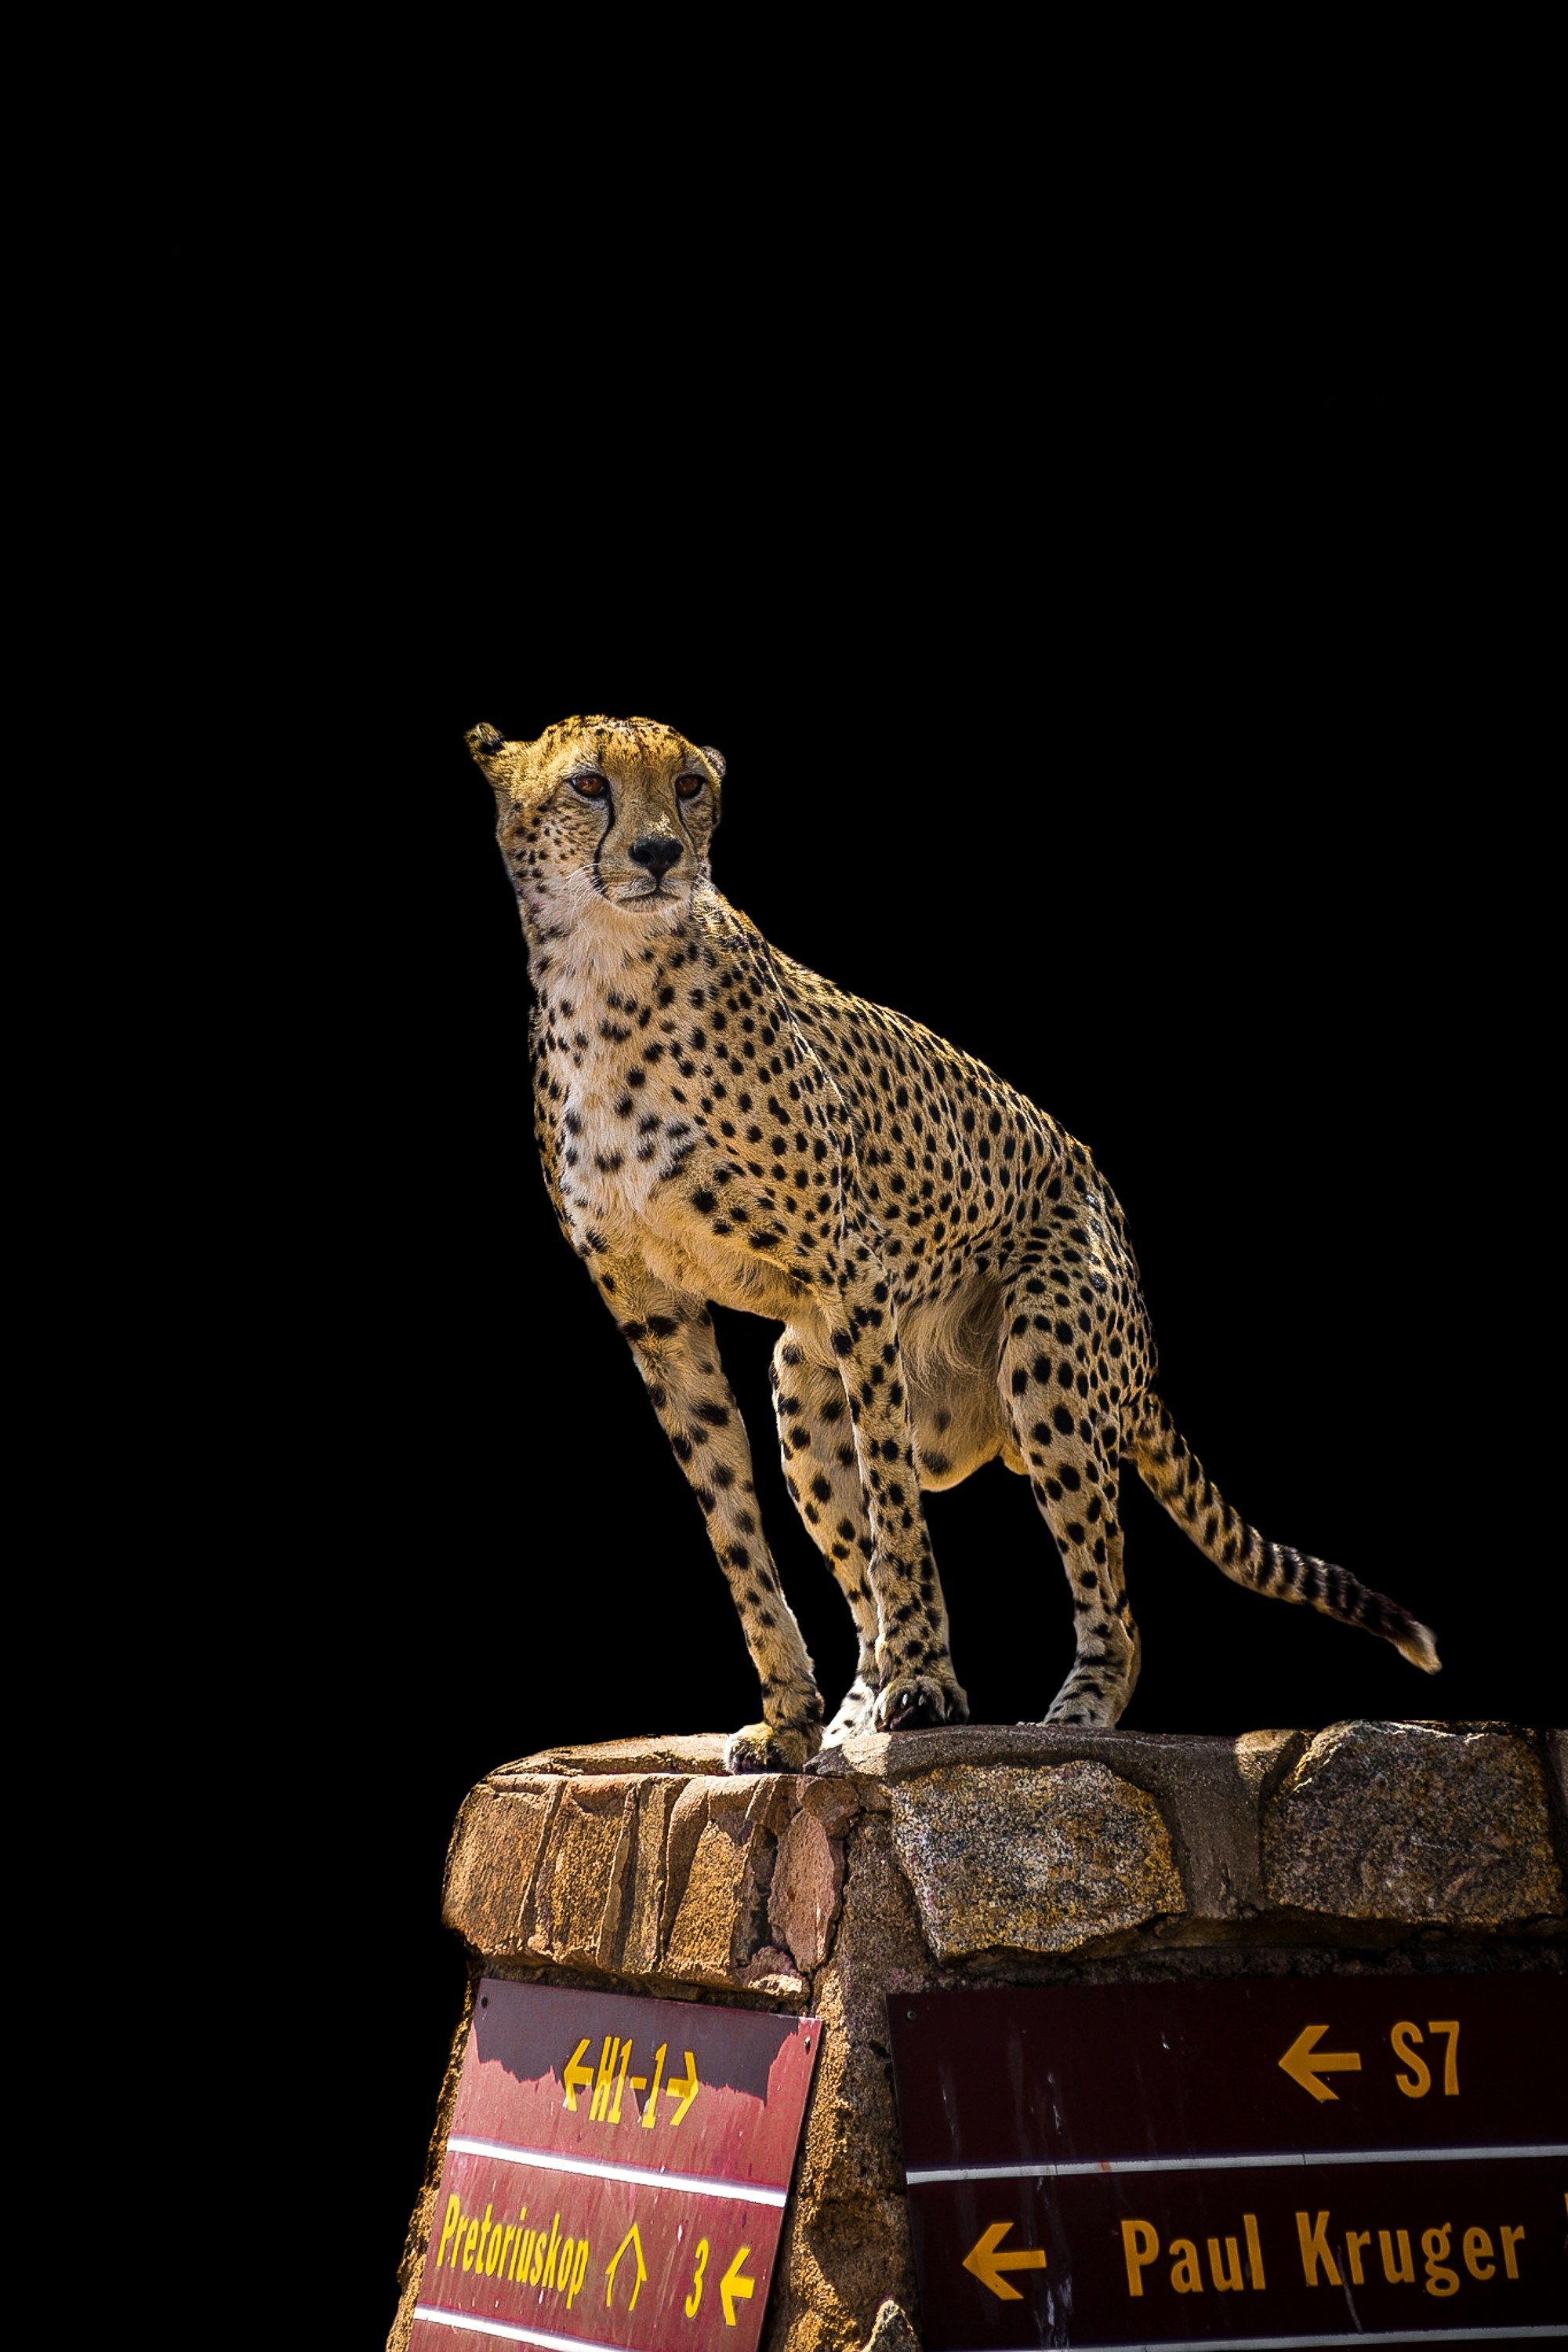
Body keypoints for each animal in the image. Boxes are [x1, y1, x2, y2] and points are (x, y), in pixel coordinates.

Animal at [466, 711, 1440, 1773]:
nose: (657, 853)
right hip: (803, 1387)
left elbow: (895, 1502)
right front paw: (789, 1717)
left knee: (1106, 1595)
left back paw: (1072, 1711)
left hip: (1049, 1355)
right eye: (588, 784)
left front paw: (927, 1686)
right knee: (859, 1565)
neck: (606, 971)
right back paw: (852, 1713)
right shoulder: (654, 1314)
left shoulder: (852, 1269)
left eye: (687, 785)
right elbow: (732, 1522)